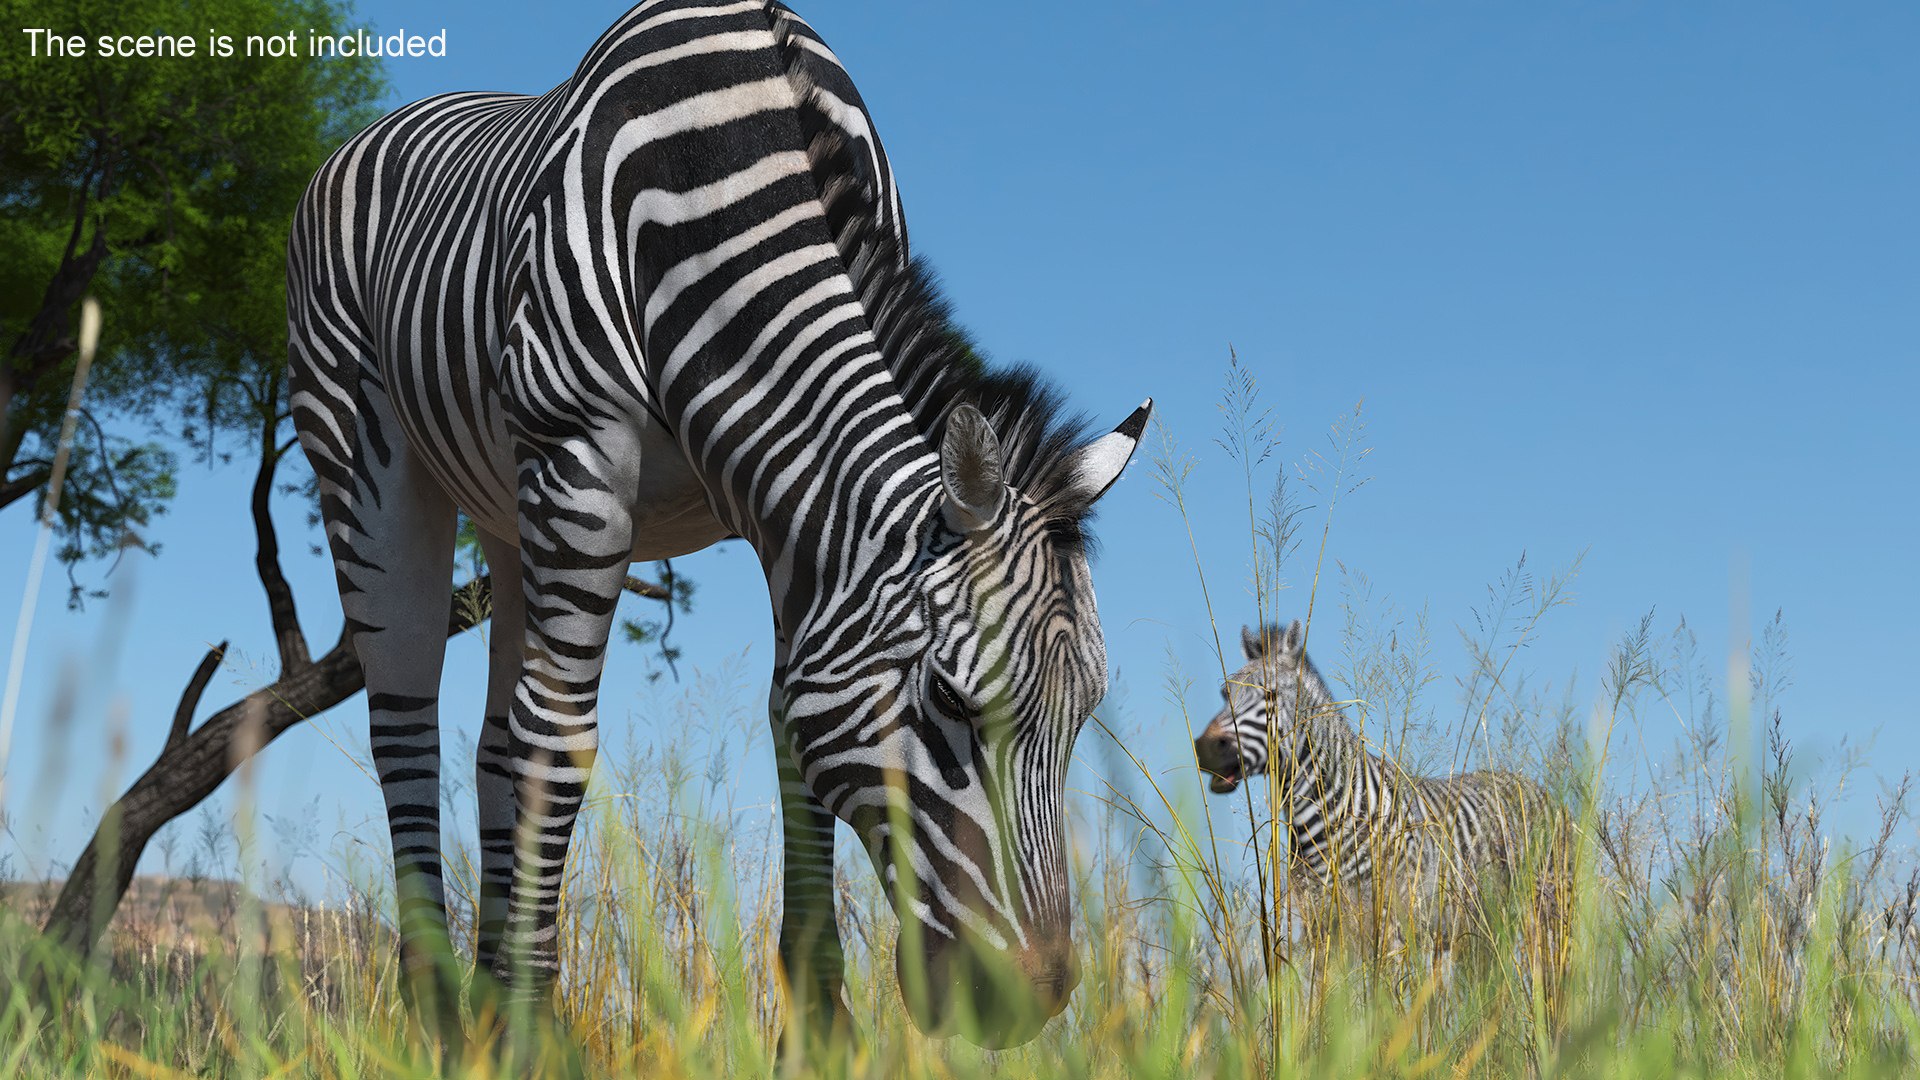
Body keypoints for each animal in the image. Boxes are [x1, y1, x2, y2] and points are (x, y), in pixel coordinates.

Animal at [288, 0, 1149, 1051]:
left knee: (495, 743)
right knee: (408, 726)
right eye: (948, 695)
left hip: (506, 512)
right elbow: (557, 746)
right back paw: (444, 1016)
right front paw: (534, 1033)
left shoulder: (797, 518)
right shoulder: (580, 463)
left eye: (1085, 714)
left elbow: (789, 722)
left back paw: (483, 1012)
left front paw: (821, 1028)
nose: (1033, 1004)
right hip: (367, 462)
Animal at [1193, 621, 1570, 962]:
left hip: (1548, 909)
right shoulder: (1322, 928)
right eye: (1225, 694)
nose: (1206, 749)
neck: (1331, 815)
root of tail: (1530, 783)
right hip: (1484, 927)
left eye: (1270, 696)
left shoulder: (1391, 927)